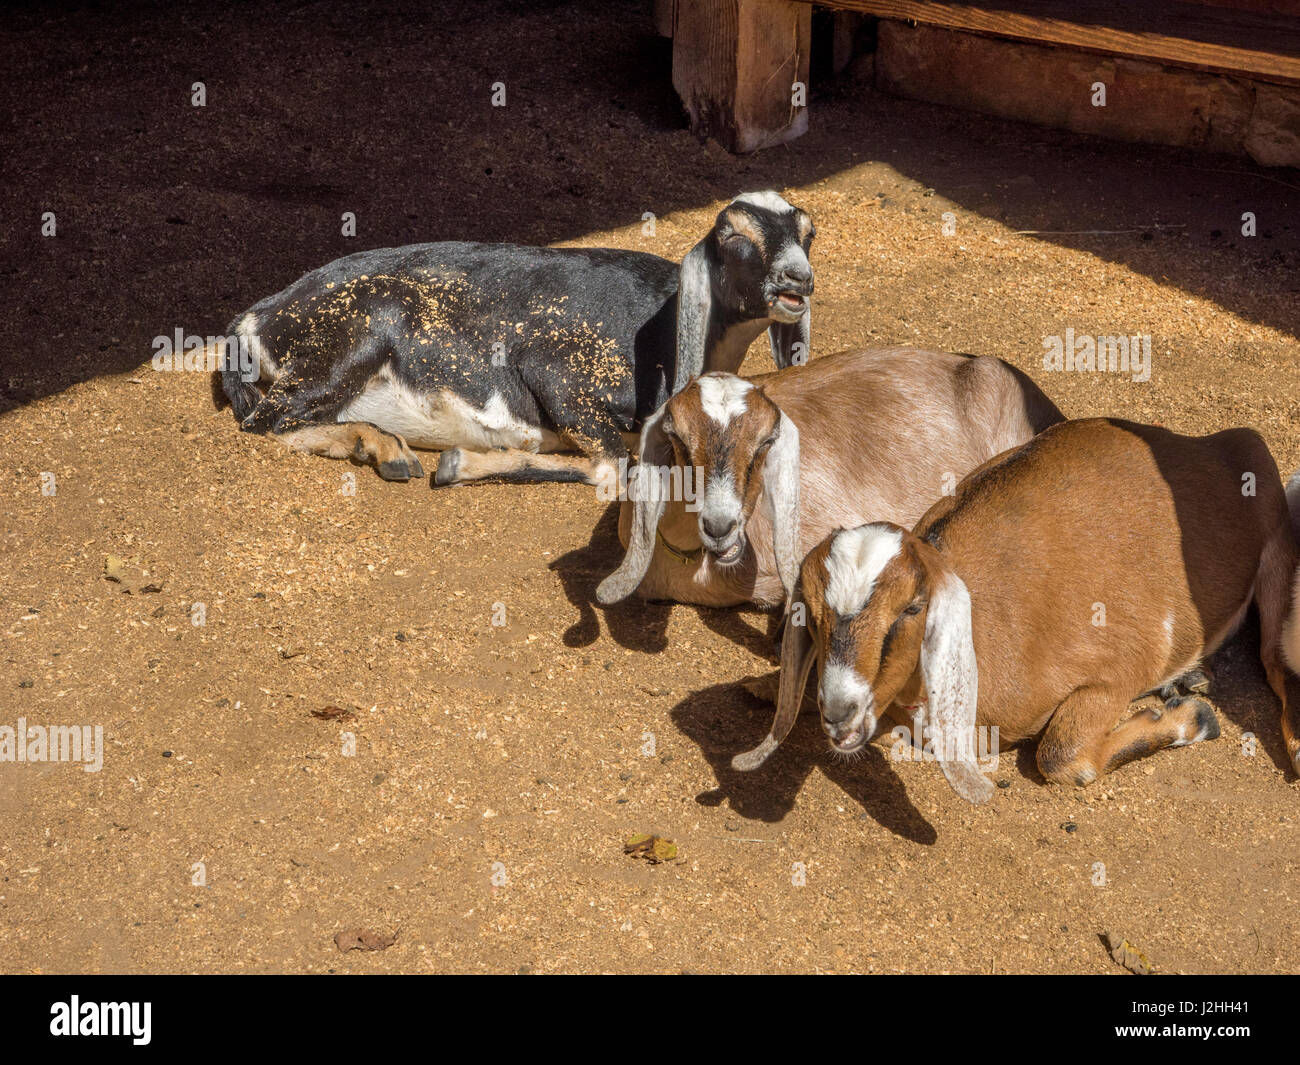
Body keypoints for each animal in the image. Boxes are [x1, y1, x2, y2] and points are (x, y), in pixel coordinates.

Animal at [218, 192, 814, 485]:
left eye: (809, 234)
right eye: (733, 236)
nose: (798, 280)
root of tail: (256, 318)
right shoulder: (557, 371)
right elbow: (612, 466)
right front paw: (459, 465)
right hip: (351, 342)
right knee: (266, 425)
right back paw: (384, 448)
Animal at [734, 417, 1300, 804]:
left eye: (911, 608)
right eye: (811, 615)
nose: (840, 712)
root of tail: (1218, 444)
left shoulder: (1115, 671)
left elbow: (1062, 757)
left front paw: (1193, 719)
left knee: (1276, 660)